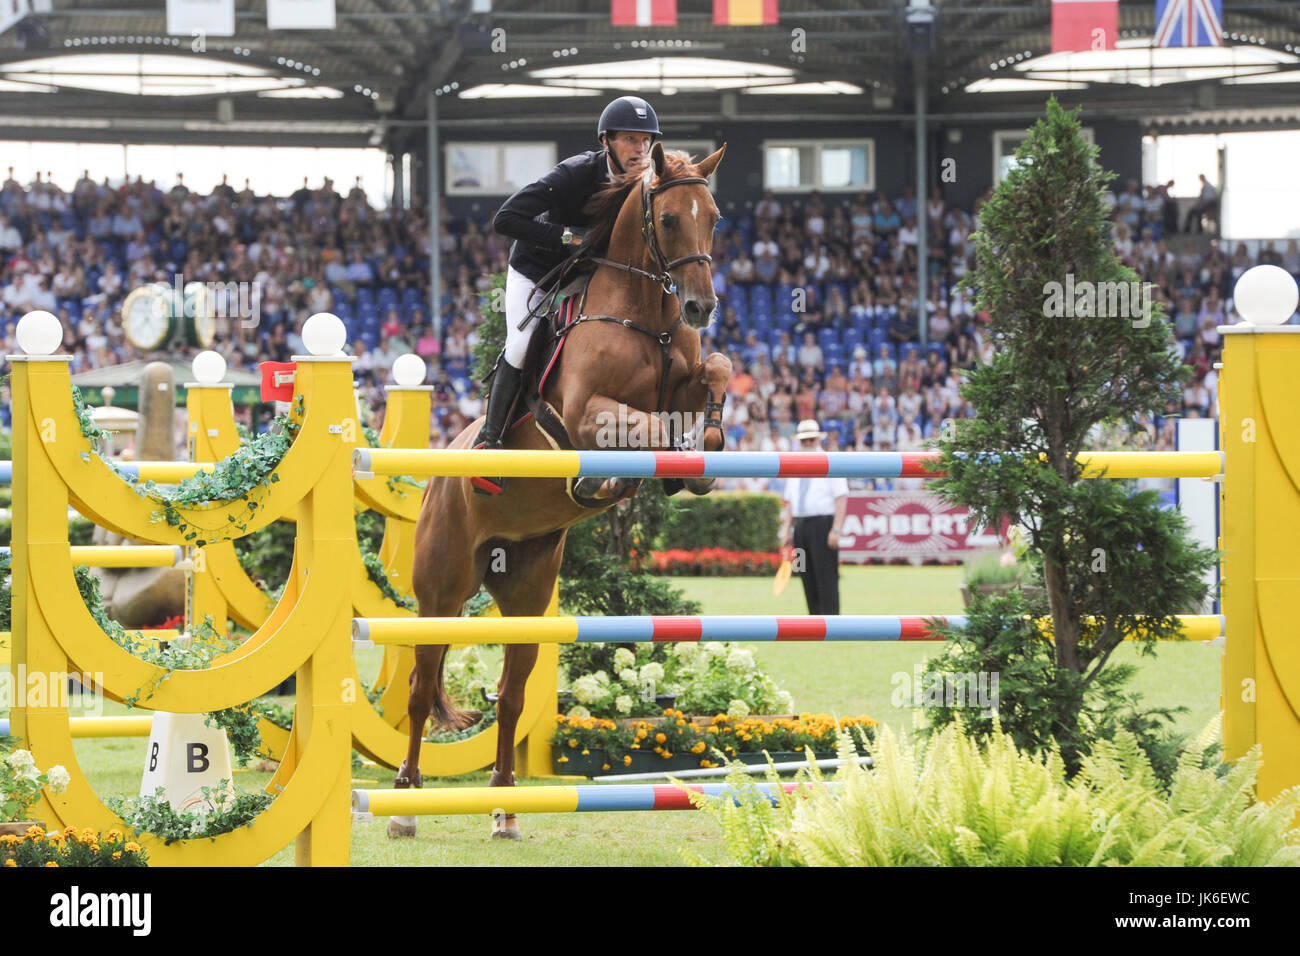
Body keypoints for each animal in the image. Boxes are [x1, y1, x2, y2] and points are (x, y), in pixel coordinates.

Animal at [393, 142, 732, 839]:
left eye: (712, 218)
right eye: (668, 221)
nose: (699, 308)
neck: (648, 319)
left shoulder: (689, 372)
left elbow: (716, 369)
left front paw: (705, 448)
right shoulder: (583, 414)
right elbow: (646, 426)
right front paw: (639, 468)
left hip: (525, 590)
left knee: (510, 695)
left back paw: (504, 810)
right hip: (441, 590)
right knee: (419, 685)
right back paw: (405, 805)